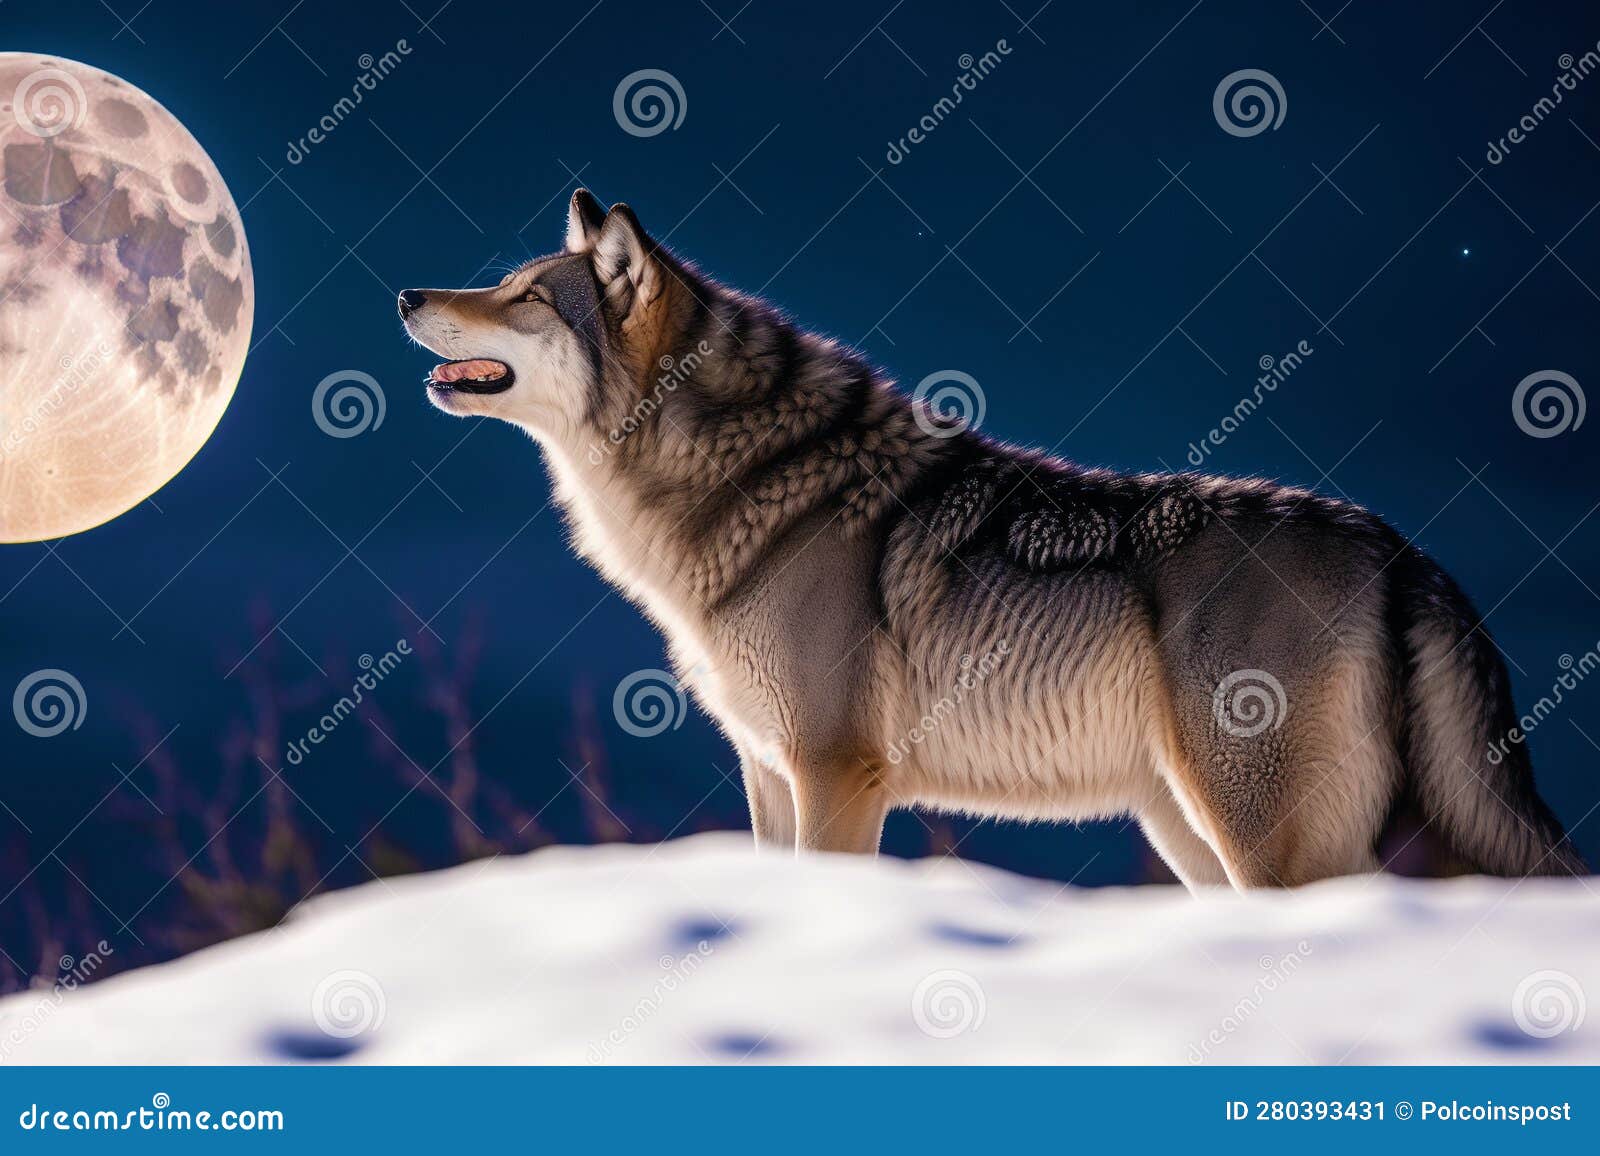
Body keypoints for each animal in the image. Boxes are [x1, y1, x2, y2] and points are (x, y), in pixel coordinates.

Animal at [398, 189, 1585, 889]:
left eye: (521, 295)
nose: (407, 289)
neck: (744, 483)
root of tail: (1400, 546)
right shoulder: (769, 773)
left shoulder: (838, 775)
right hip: (1187, 833)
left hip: (1258, 840)